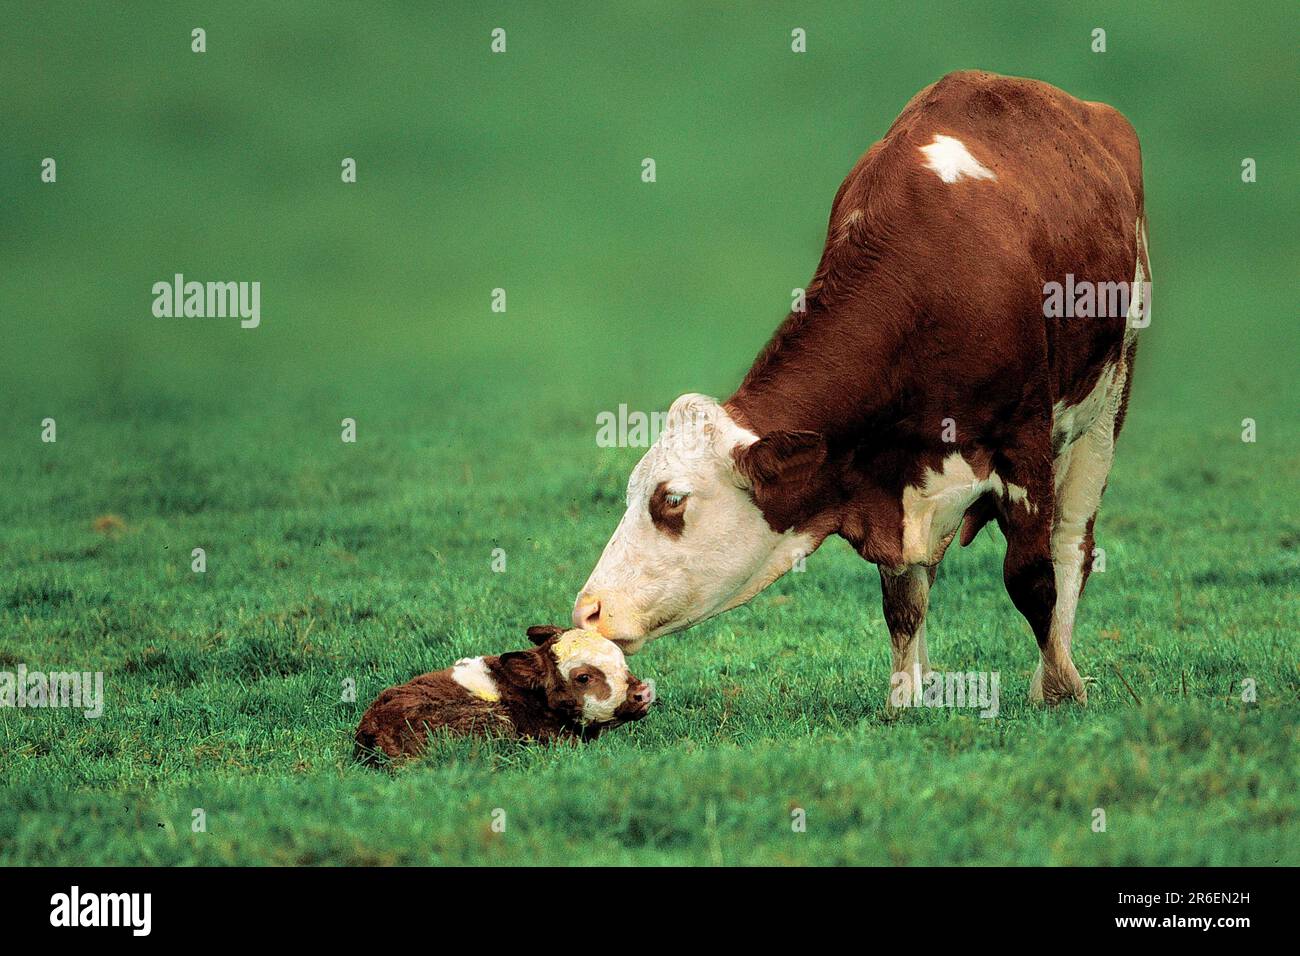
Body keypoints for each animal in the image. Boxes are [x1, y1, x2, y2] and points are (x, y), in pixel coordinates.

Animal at [573, 71, 1149, 706]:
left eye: (672, 500)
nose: (588, 610)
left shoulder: (1024, 440)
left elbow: (1031, 576)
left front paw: (1060, 686)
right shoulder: (891, 481)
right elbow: (902, 600)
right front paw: (905, 699)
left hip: (1107, 400)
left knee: (1072, 541)